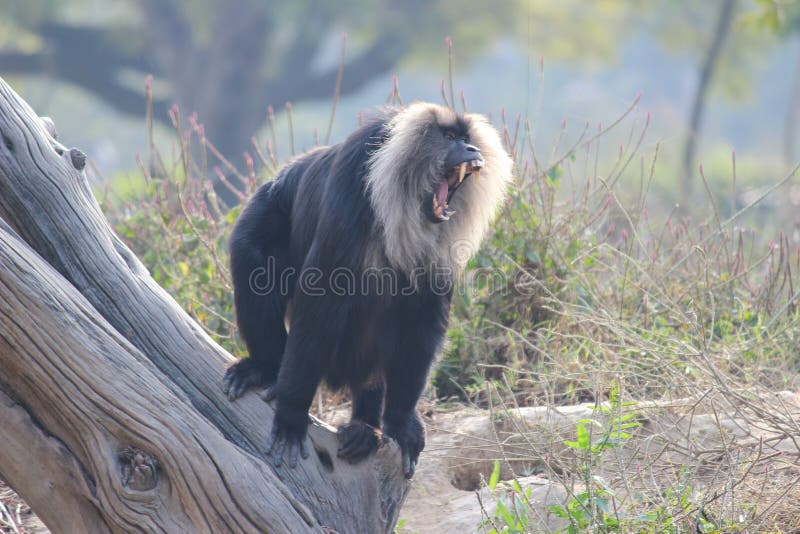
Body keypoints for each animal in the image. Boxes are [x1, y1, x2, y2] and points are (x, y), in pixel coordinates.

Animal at [223, 102, 512, 477]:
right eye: (449, 137)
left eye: (466, 137)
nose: (472, 150)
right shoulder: (354, 182)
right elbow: (318, 305)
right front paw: (291, 415)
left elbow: (422, 322)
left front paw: (401, 422)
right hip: (268, 206)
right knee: (253, 263)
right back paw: (263, 368)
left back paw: (365, 427)